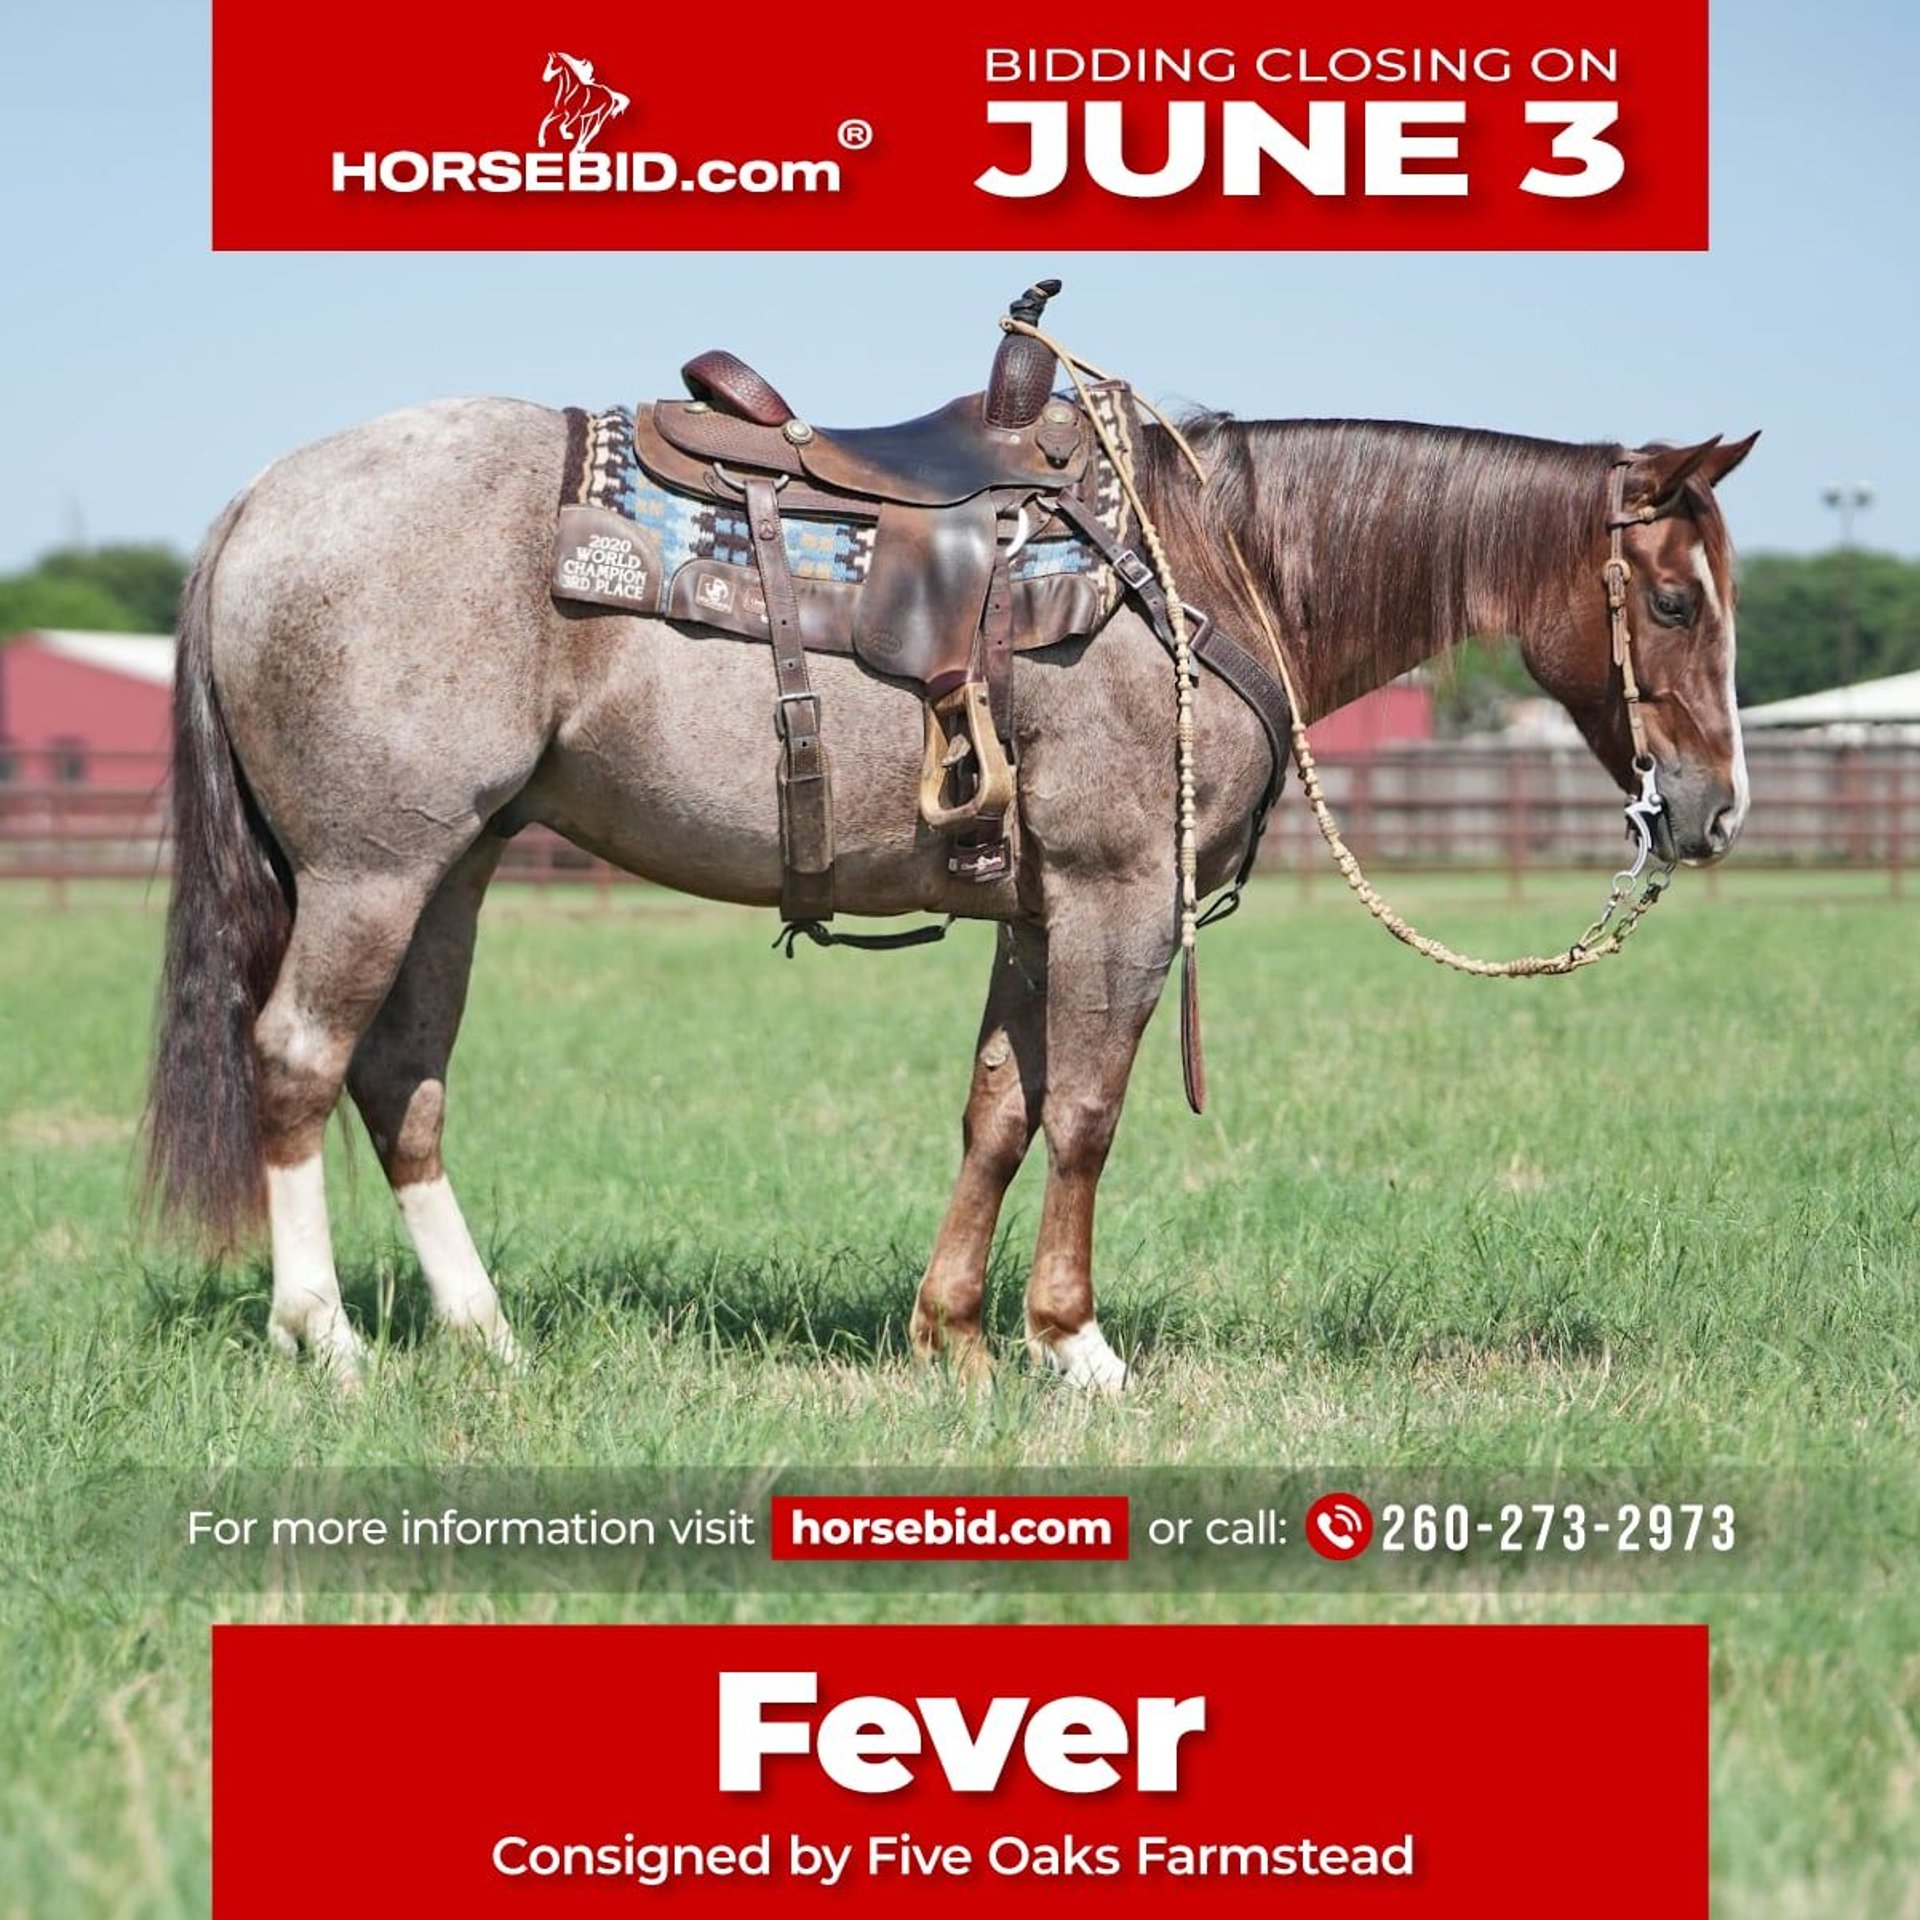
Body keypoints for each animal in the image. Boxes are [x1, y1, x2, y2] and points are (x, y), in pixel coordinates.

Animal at [145, 392, 1755, 1389]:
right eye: (1676, 601)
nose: (1712, 810)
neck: (1205, 569)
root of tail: (262, 500)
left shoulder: (1036, 915)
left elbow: (1001, 1109)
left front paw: (955, 1335)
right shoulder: (1119, 896)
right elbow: (1089, 1113)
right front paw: (1073, 1344)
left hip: (455, 868)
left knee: (400, 1082)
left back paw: (484, 1336)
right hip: (374, 870)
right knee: (299, 1058)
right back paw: (324, 1336)